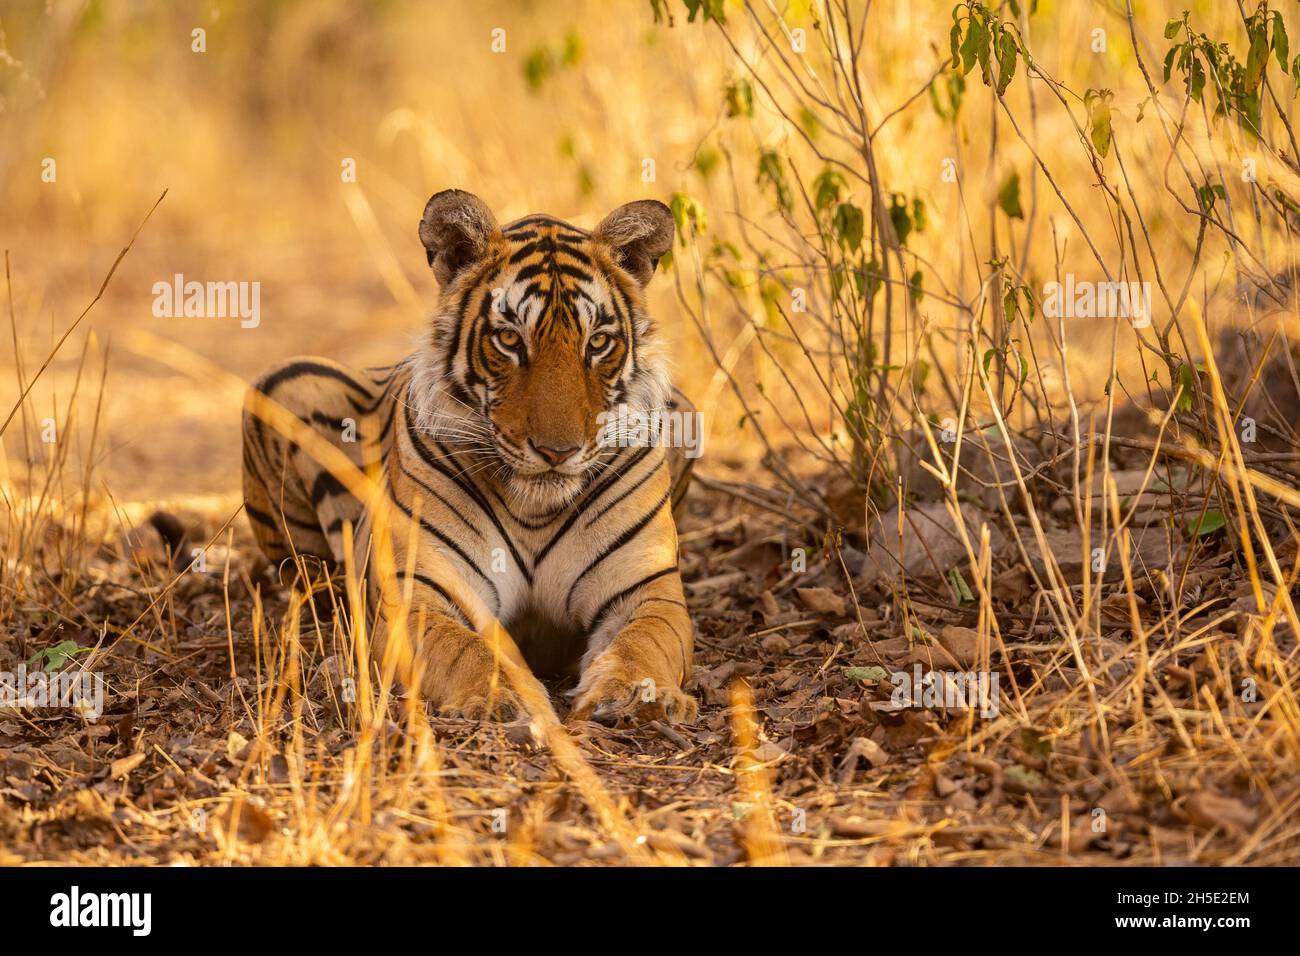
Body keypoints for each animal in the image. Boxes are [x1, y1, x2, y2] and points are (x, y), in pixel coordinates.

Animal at [240, 189, 699, 725]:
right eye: (510, 339)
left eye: (598, 342)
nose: (557, 451)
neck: (535, 509)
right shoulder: (419, 592)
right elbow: (466, 649)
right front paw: (510, 697)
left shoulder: (647, 588)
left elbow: (645, 642)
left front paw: (636, 694)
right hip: (282, 384)